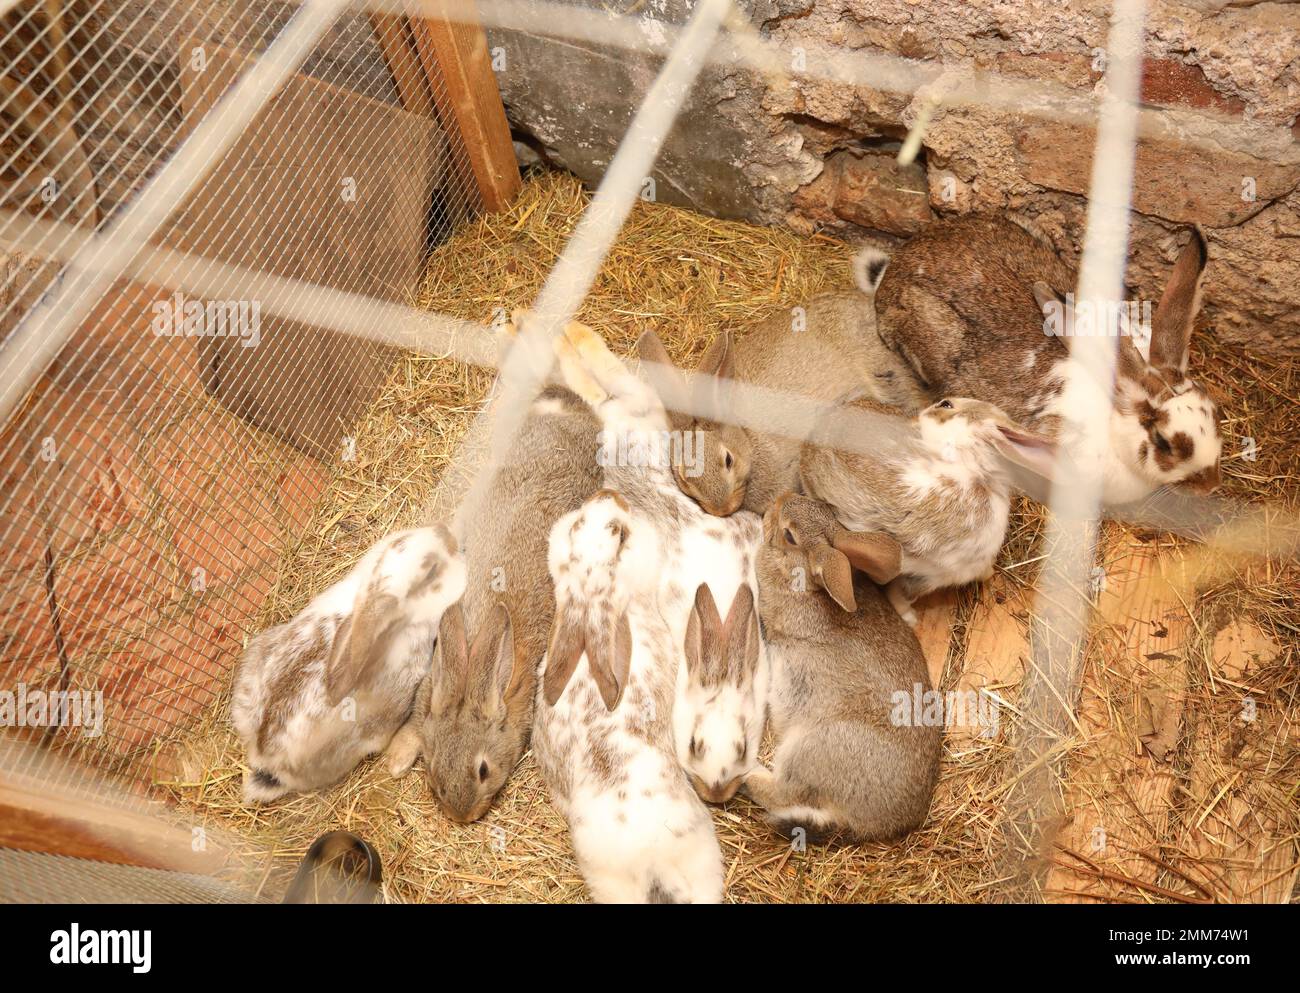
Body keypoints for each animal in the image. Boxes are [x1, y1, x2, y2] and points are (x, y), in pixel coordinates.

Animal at [533, 490, 724, 903]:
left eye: (576, 524)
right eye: (621, 536)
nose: (609, 494)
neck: (590, 600)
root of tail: (650, 863)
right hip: (702, 859)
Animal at [742, 492, 941, 842]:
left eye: (789, 535)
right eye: (824, 506)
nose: (777, 501)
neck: (807, 582)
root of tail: (868, 824)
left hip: (808, 747)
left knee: (784, 791)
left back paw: (747, 773)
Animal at [799, 393, 1057, 624]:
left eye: (946, 404)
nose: (921, 413)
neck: (975, 473)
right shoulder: (929, 575)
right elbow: (902, 595)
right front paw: (910, 619)